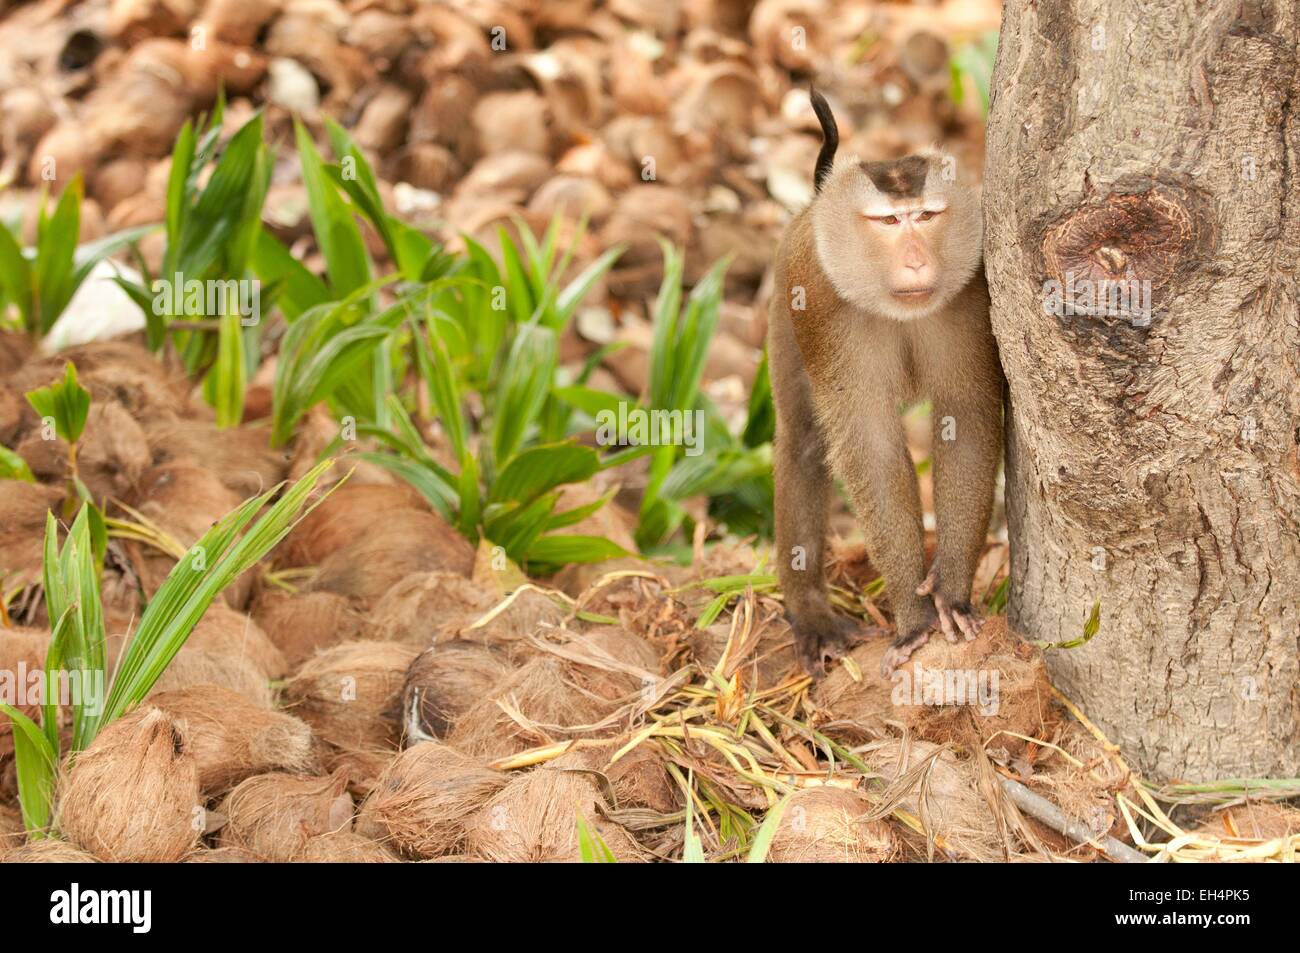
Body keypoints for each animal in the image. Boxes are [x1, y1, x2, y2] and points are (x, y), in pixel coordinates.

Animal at [768, 88, 1003, 679]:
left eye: (926, 215)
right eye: (889, 222)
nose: (917, 262)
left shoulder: (971, 292)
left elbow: (964, 417)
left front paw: (951, 587)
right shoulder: (821, 303)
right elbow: (869, 445)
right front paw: (913, 617)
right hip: (785, 295)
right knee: (803, 439)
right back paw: (811, 612)